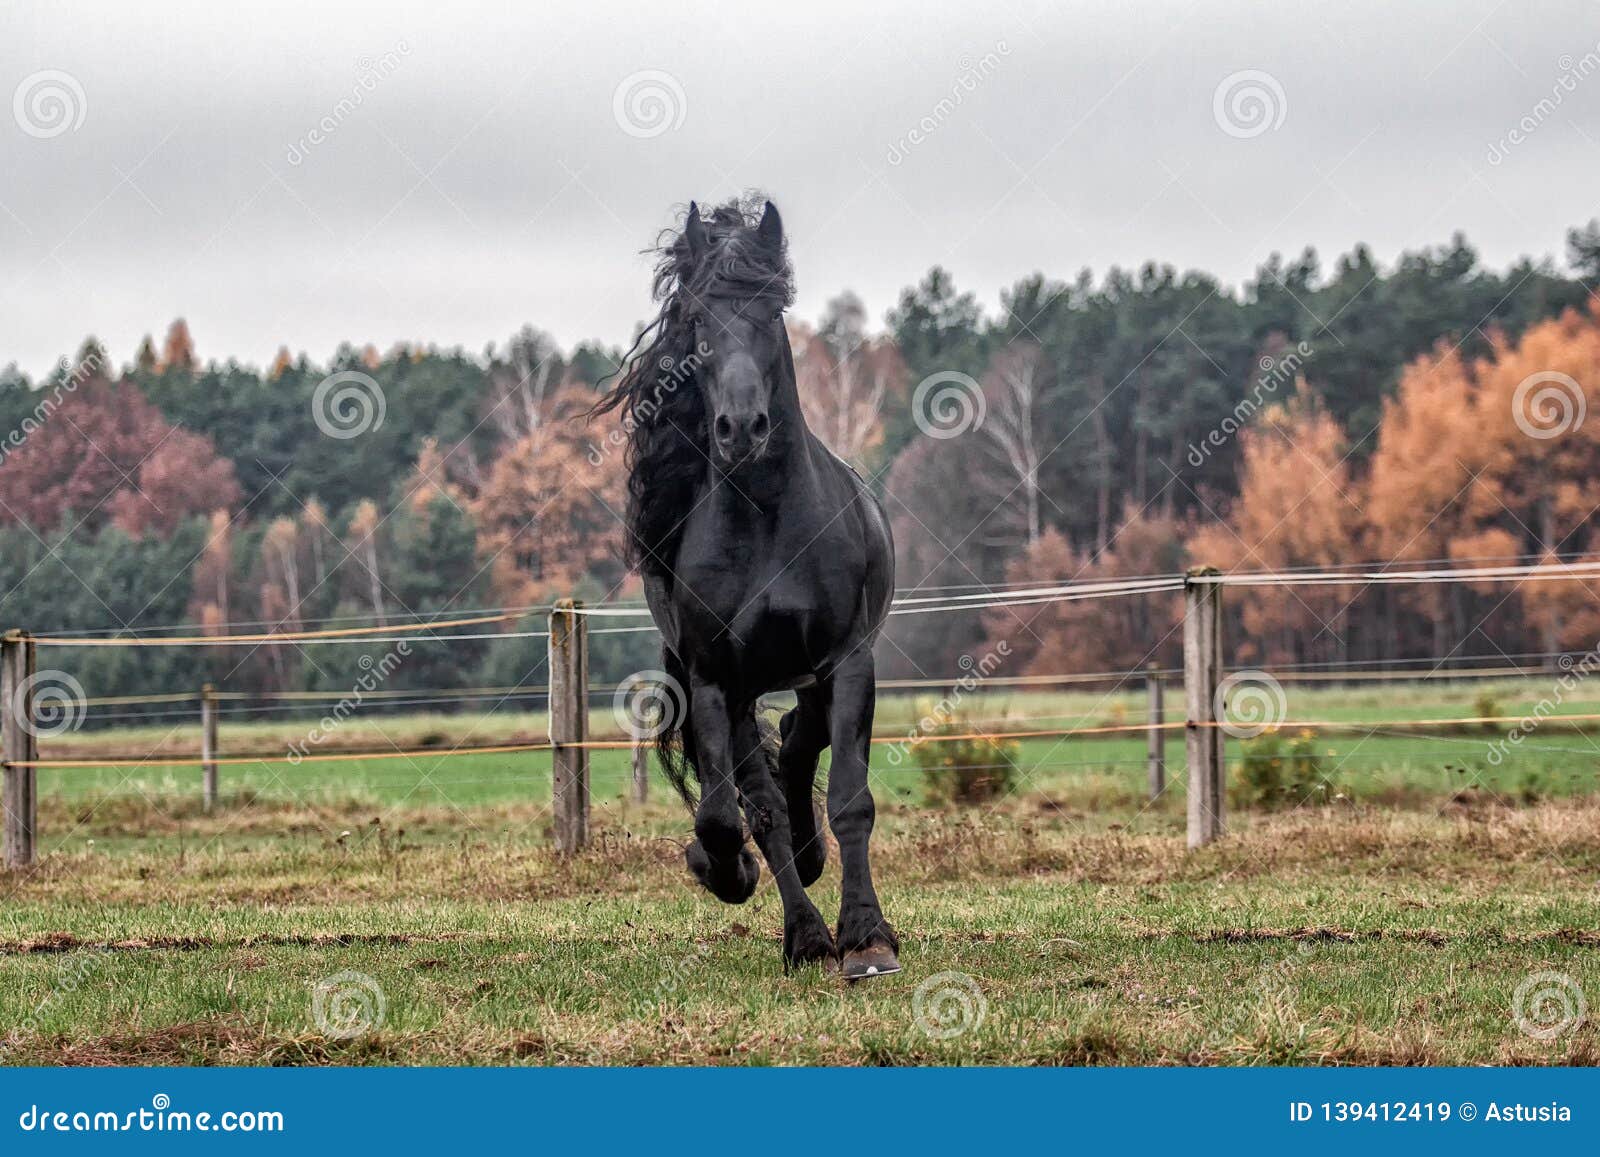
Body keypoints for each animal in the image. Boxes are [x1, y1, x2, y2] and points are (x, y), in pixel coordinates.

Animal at [593, 197, 899, 979]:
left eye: (770, 310)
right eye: (698, 317)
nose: (738, 428)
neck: (766, 516)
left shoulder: (848, 660)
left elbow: (850, 797)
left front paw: (868, 938)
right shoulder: (715, 679)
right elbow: (730, 816)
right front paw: (735, 879)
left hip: (817, 675)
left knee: (797, 742)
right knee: (765, 786)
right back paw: (800, 912)